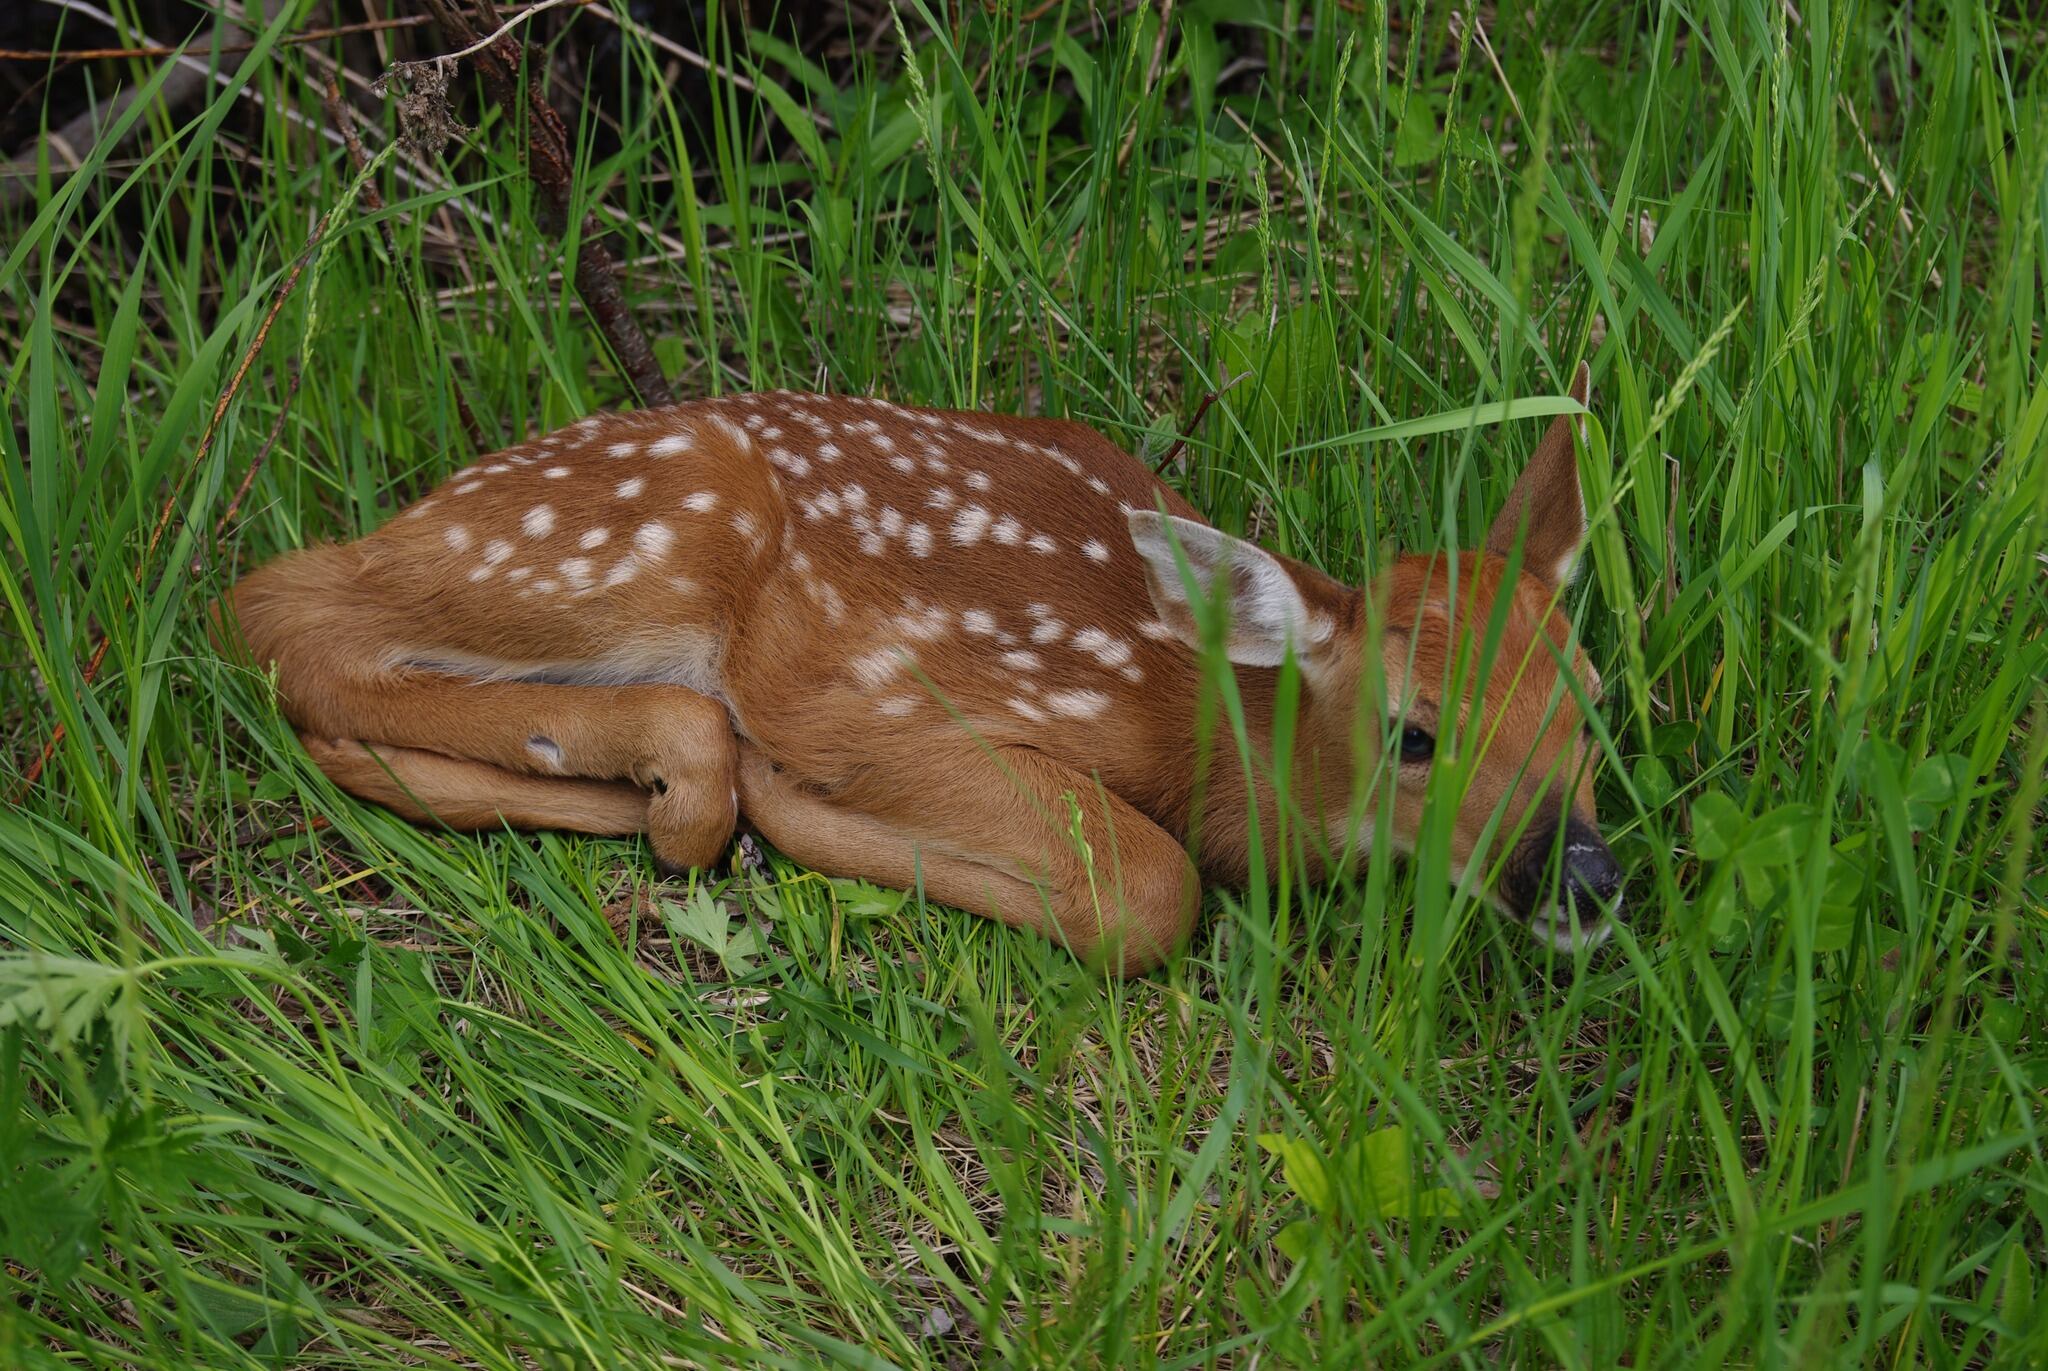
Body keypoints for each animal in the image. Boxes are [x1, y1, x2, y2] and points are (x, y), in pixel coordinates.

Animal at [223, 363, 1620, 974]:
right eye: (1413, 733)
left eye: (1590, 708)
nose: (1584, 879)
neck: (1212, 731)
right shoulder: (889, 705)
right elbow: (1151, 891)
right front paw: (801, 812)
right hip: (626, 548)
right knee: (284, 606)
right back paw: (681, 787)